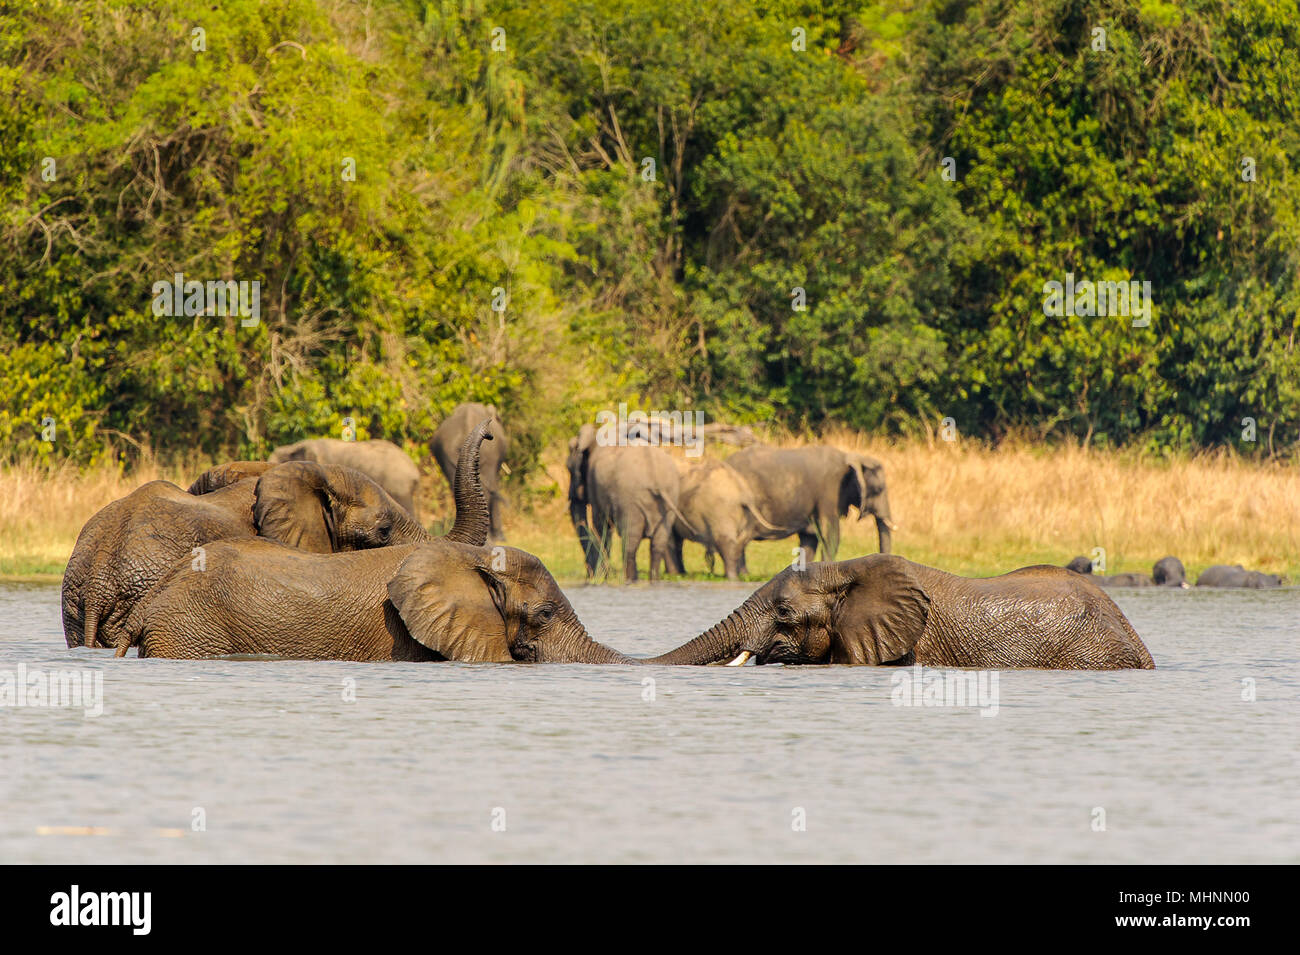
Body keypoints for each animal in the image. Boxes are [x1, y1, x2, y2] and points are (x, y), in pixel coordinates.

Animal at [566, 424, 690, 582]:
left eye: (569, 468)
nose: (590, 575)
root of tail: (655, 477)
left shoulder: (595, 485)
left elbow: (601, 526)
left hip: (630, 501)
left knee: (630, 543)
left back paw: (630, 579)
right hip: (670, 497)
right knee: (658, 543)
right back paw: (653, 579)